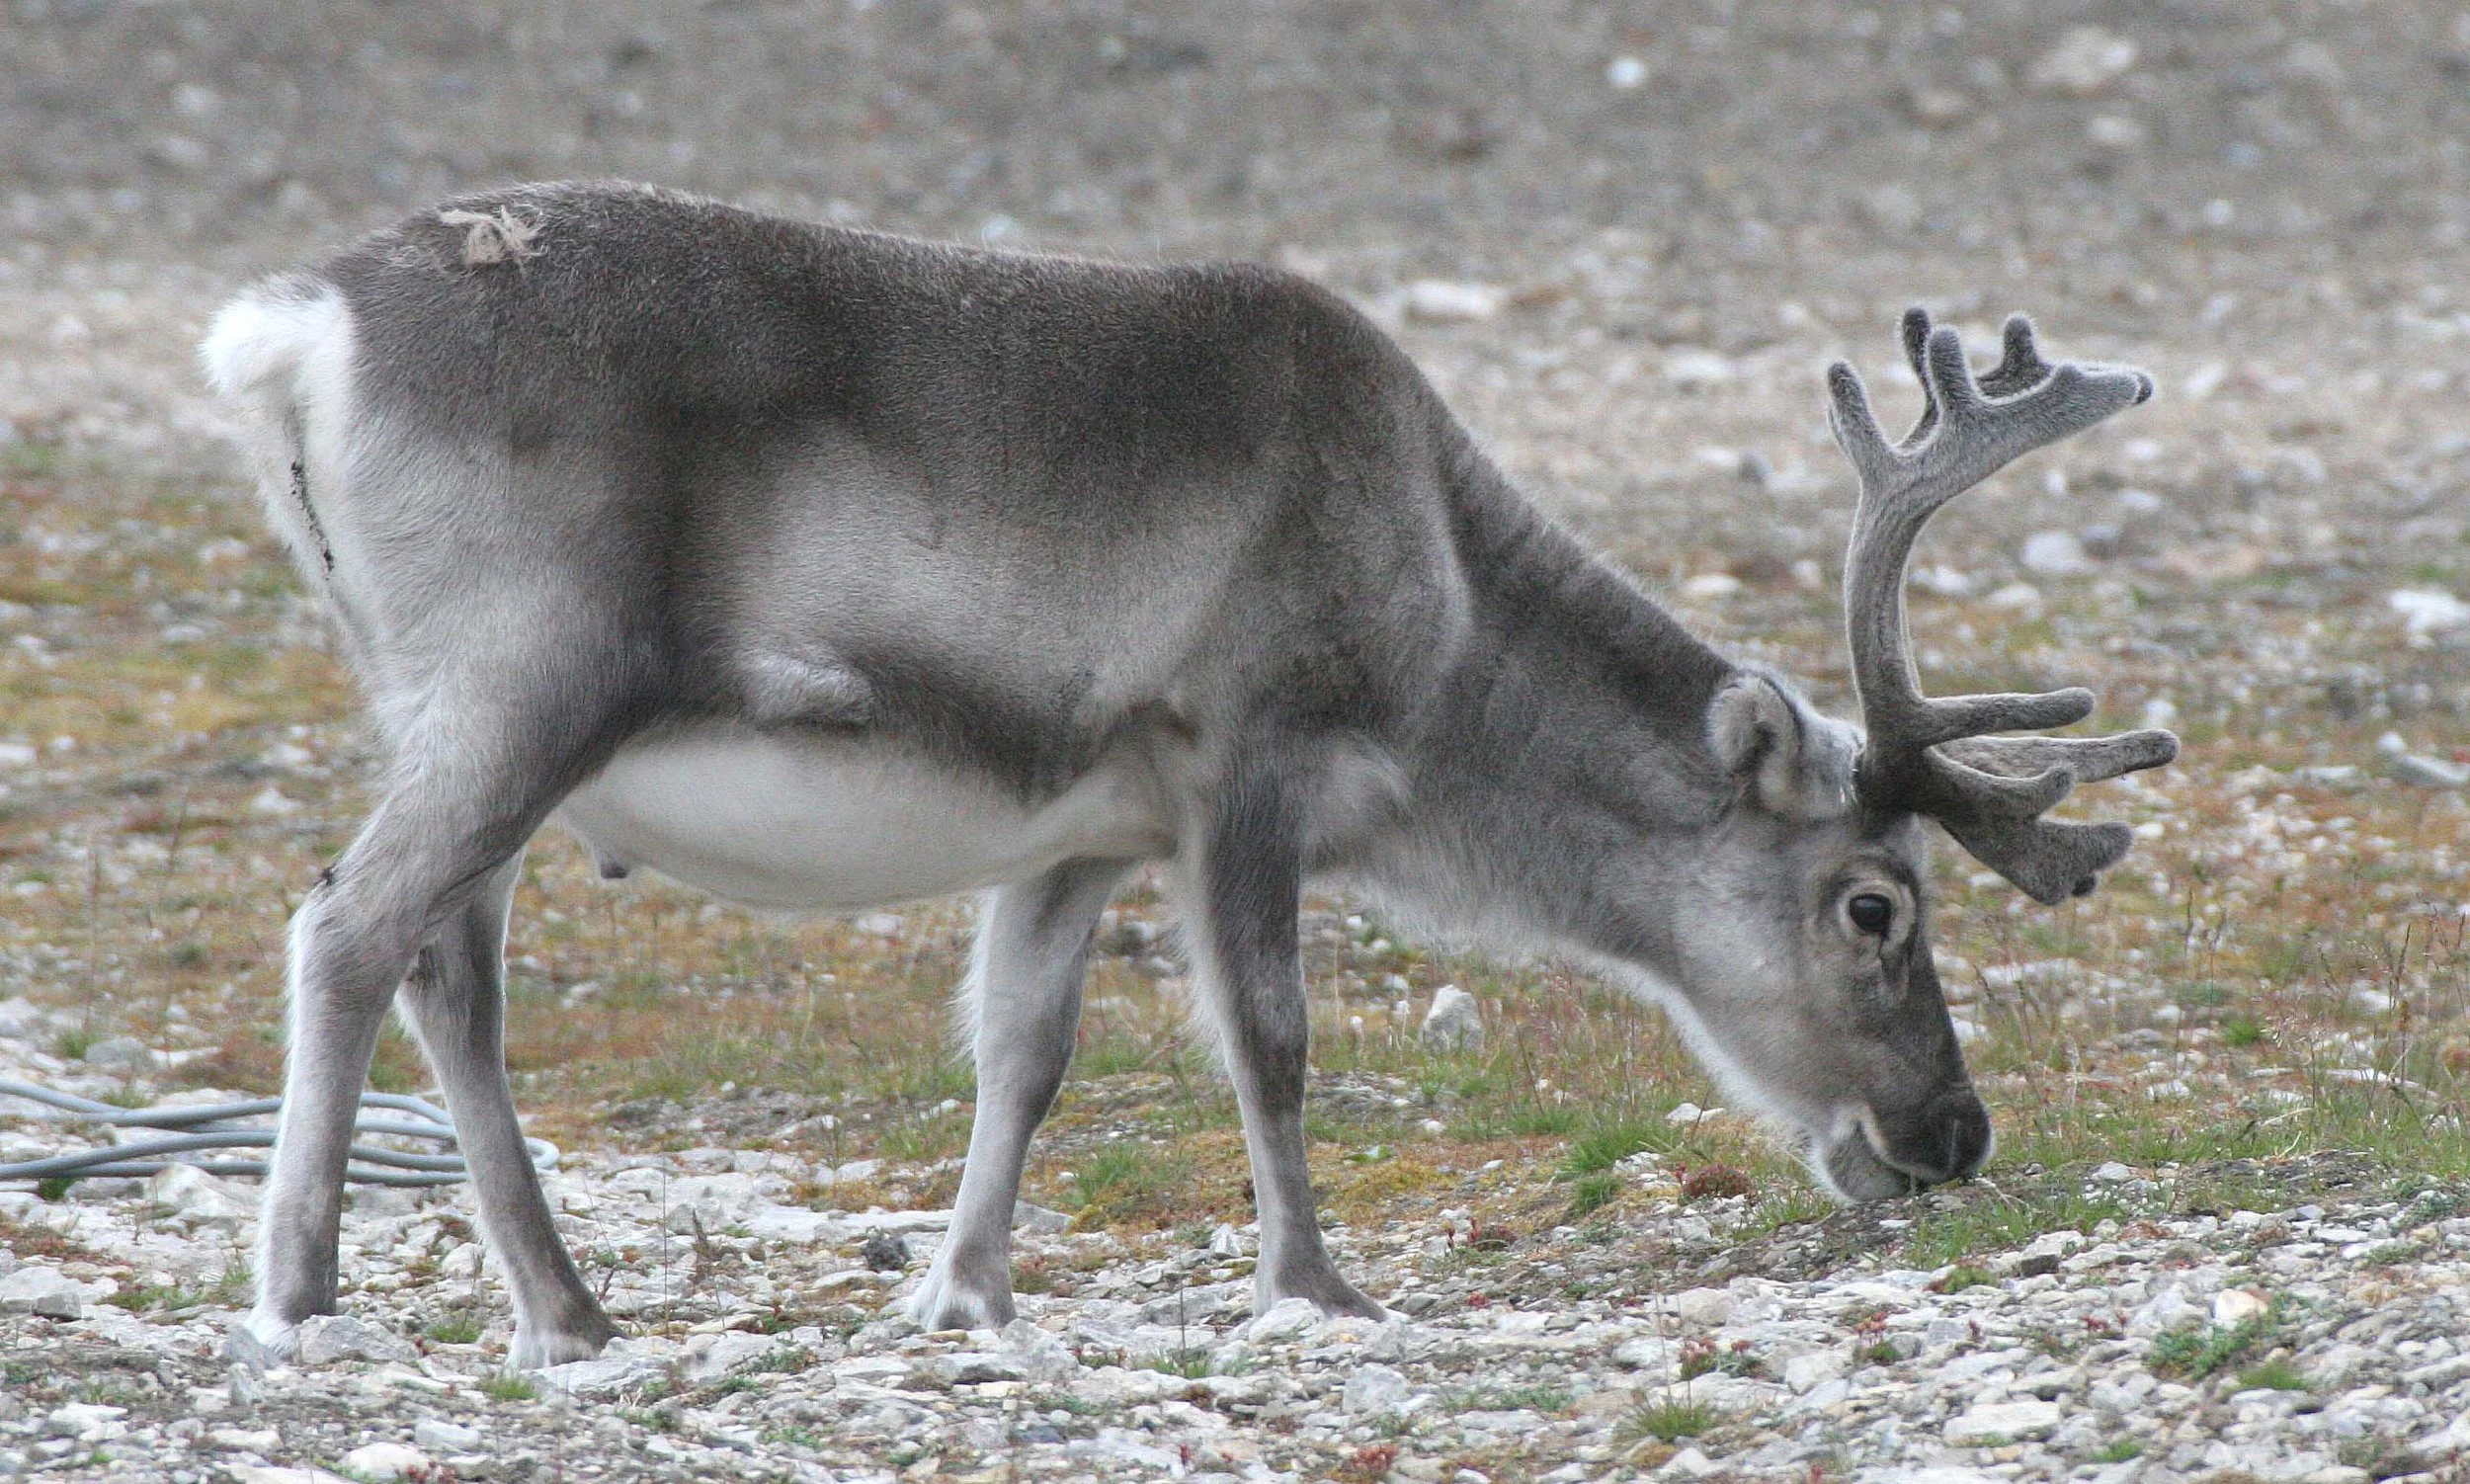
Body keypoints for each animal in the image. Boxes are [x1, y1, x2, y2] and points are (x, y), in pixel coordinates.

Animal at [199, 182, 2174, 1369]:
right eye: (1877, 905)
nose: (1955, 1131)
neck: (1450, 640)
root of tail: (295, 332)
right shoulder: (1251, 754)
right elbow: (1273, 1036)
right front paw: (1314, 1282)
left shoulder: (1081, 831)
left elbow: (1025, 1050)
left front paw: (967, 1289)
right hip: (524, 692)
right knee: (345, 928)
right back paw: (304, 1290)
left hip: (453, 714)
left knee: (445, 968)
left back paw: (568, 1305)